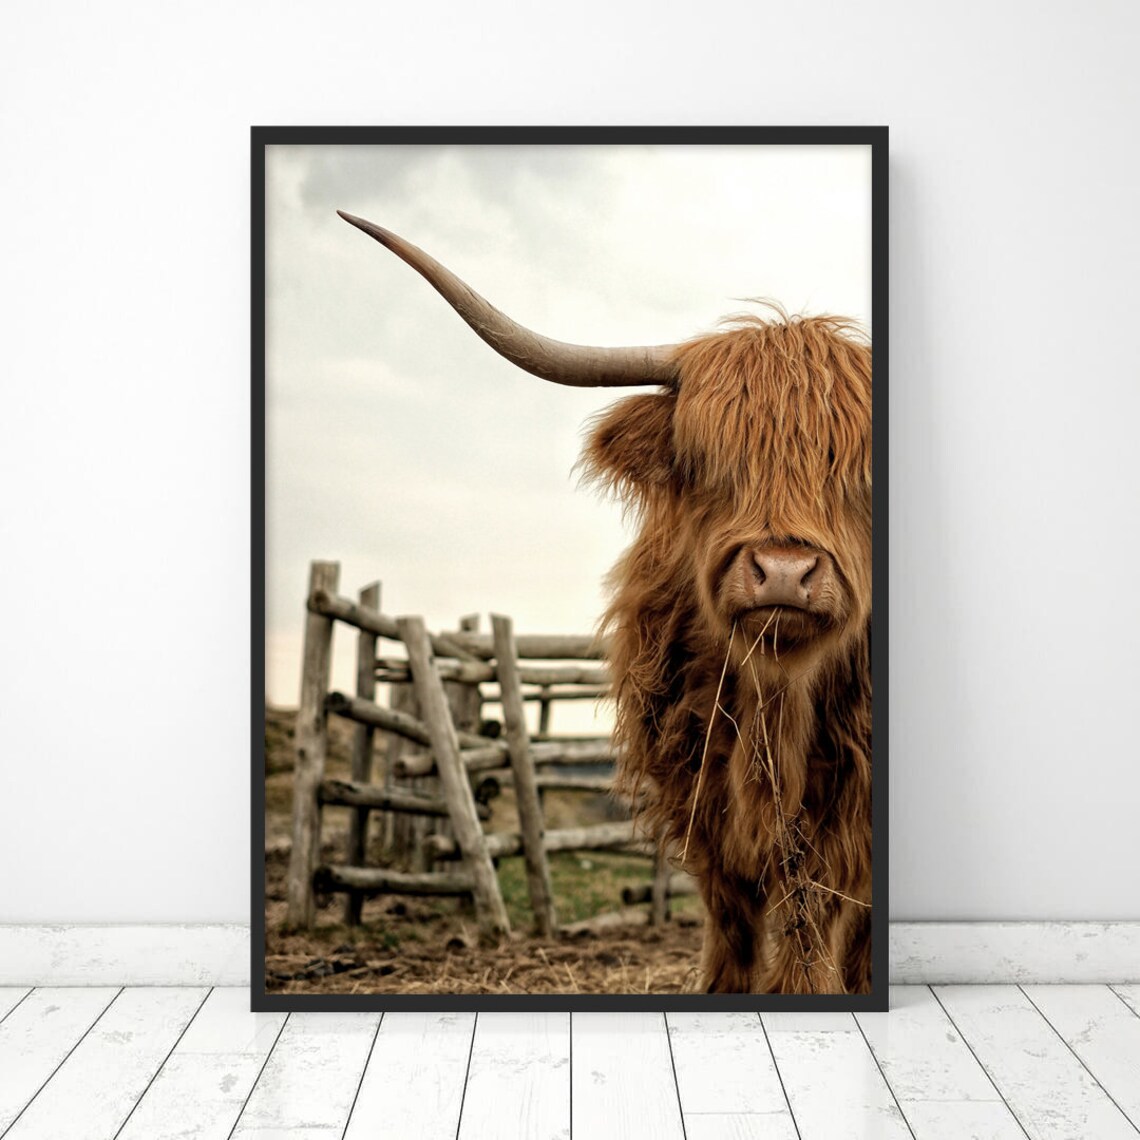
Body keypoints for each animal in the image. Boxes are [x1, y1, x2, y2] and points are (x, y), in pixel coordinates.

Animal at [339, 212, 873, 994]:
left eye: (858, 471)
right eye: (705, 463)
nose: (782, 572)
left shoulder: (847, 815)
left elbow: (819, 926)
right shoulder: (698, 800)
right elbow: (734, 926)